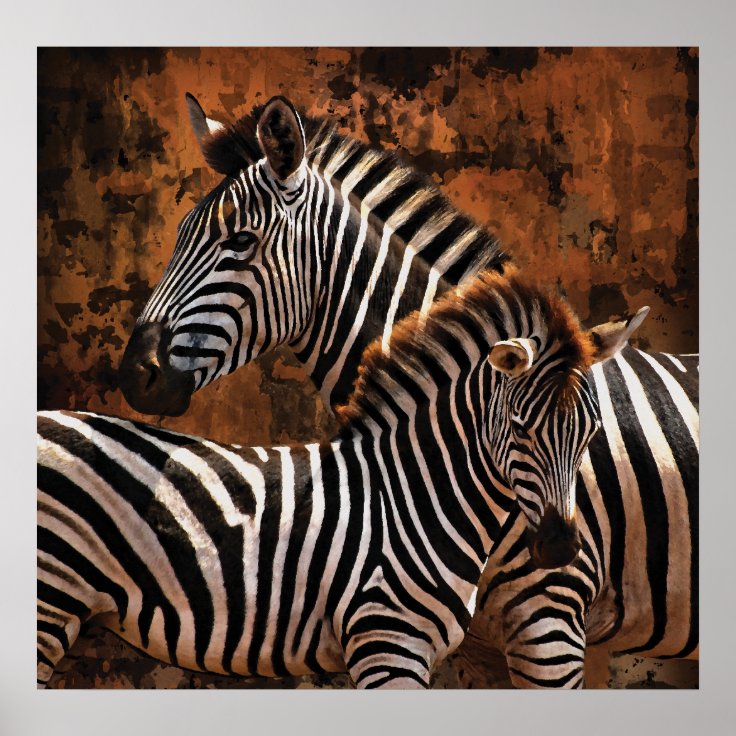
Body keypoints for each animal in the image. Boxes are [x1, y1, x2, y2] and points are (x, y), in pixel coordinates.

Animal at [37, 270, 640, 688]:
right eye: (518, 428)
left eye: (591, 431)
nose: (559, 548)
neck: (415, 495)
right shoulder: (387, 642)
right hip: (50, 601)